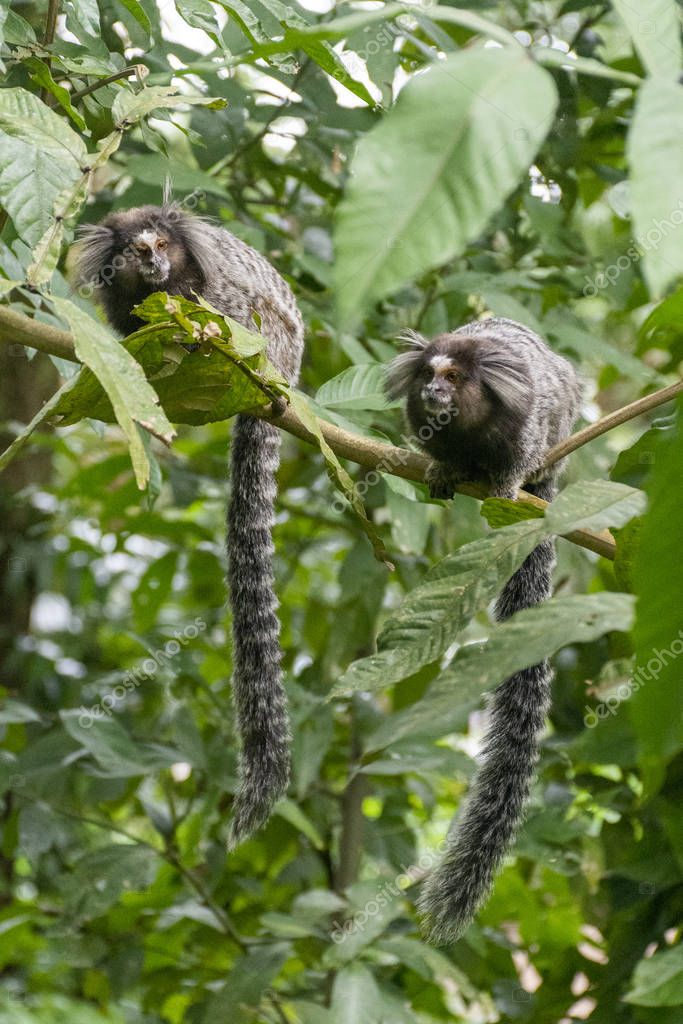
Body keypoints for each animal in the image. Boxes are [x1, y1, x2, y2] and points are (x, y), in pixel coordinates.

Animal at [73, 198, 305, 848]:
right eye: (135, 250)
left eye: (162, 245)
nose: (152, 262)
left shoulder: (216, 292)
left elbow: (228, 311)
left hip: (273, 351)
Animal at [385, 317, 581, 944]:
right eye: (428, 375)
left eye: (454, 378)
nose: (433, 392)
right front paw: (445, 467)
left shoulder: (528, 421)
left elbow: (518, 452)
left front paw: (503, 480)